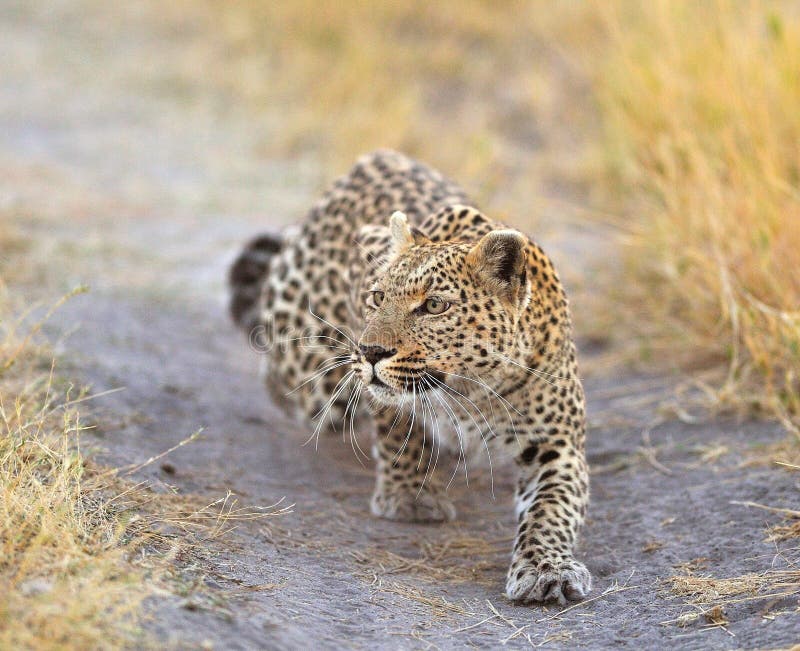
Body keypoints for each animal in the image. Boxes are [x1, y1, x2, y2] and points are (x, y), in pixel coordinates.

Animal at [229, 150, 591, 604]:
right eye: (377, 296)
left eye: (434, 305)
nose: (369, 351)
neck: (469, 387)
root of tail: (374, 158)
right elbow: (398, 427)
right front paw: (408, 497)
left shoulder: (555, 443)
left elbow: (553, 508)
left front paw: (547, 568)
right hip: (310, 379)